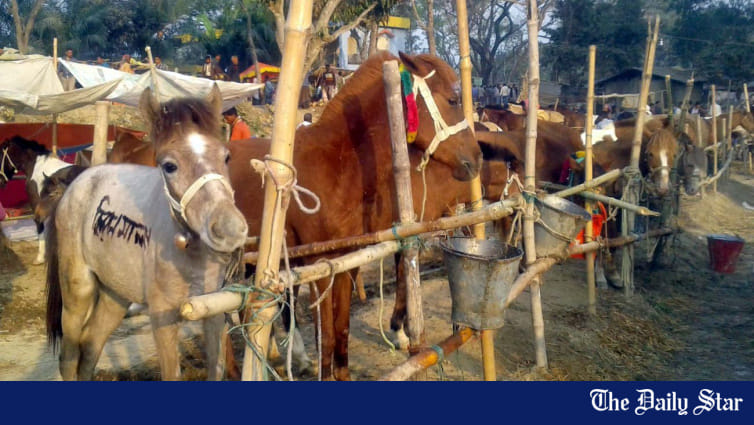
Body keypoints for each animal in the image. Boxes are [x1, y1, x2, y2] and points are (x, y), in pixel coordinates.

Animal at [0, 135, 74, 264]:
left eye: (0, 155)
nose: (0, 181)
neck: (37, 166)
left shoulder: (37, 204)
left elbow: (40, 227)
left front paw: (40, 258)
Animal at [45, 86, 248, 380]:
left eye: (226, 157)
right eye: (169, 166)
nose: (230, 229)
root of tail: (76, 184)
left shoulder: (213, 312)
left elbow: (216, 369)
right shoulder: (163, 318)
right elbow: (171, 374)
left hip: (115, 295)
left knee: (90, 347)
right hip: (77, 294)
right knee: (69, 357)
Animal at [228, 51, 481, 380]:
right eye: (452, 99)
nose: (477, 158)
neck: (336, 166)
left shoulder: (350, 261)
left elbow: (342, 329)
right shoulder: (320, 267)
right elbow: (325, 335)